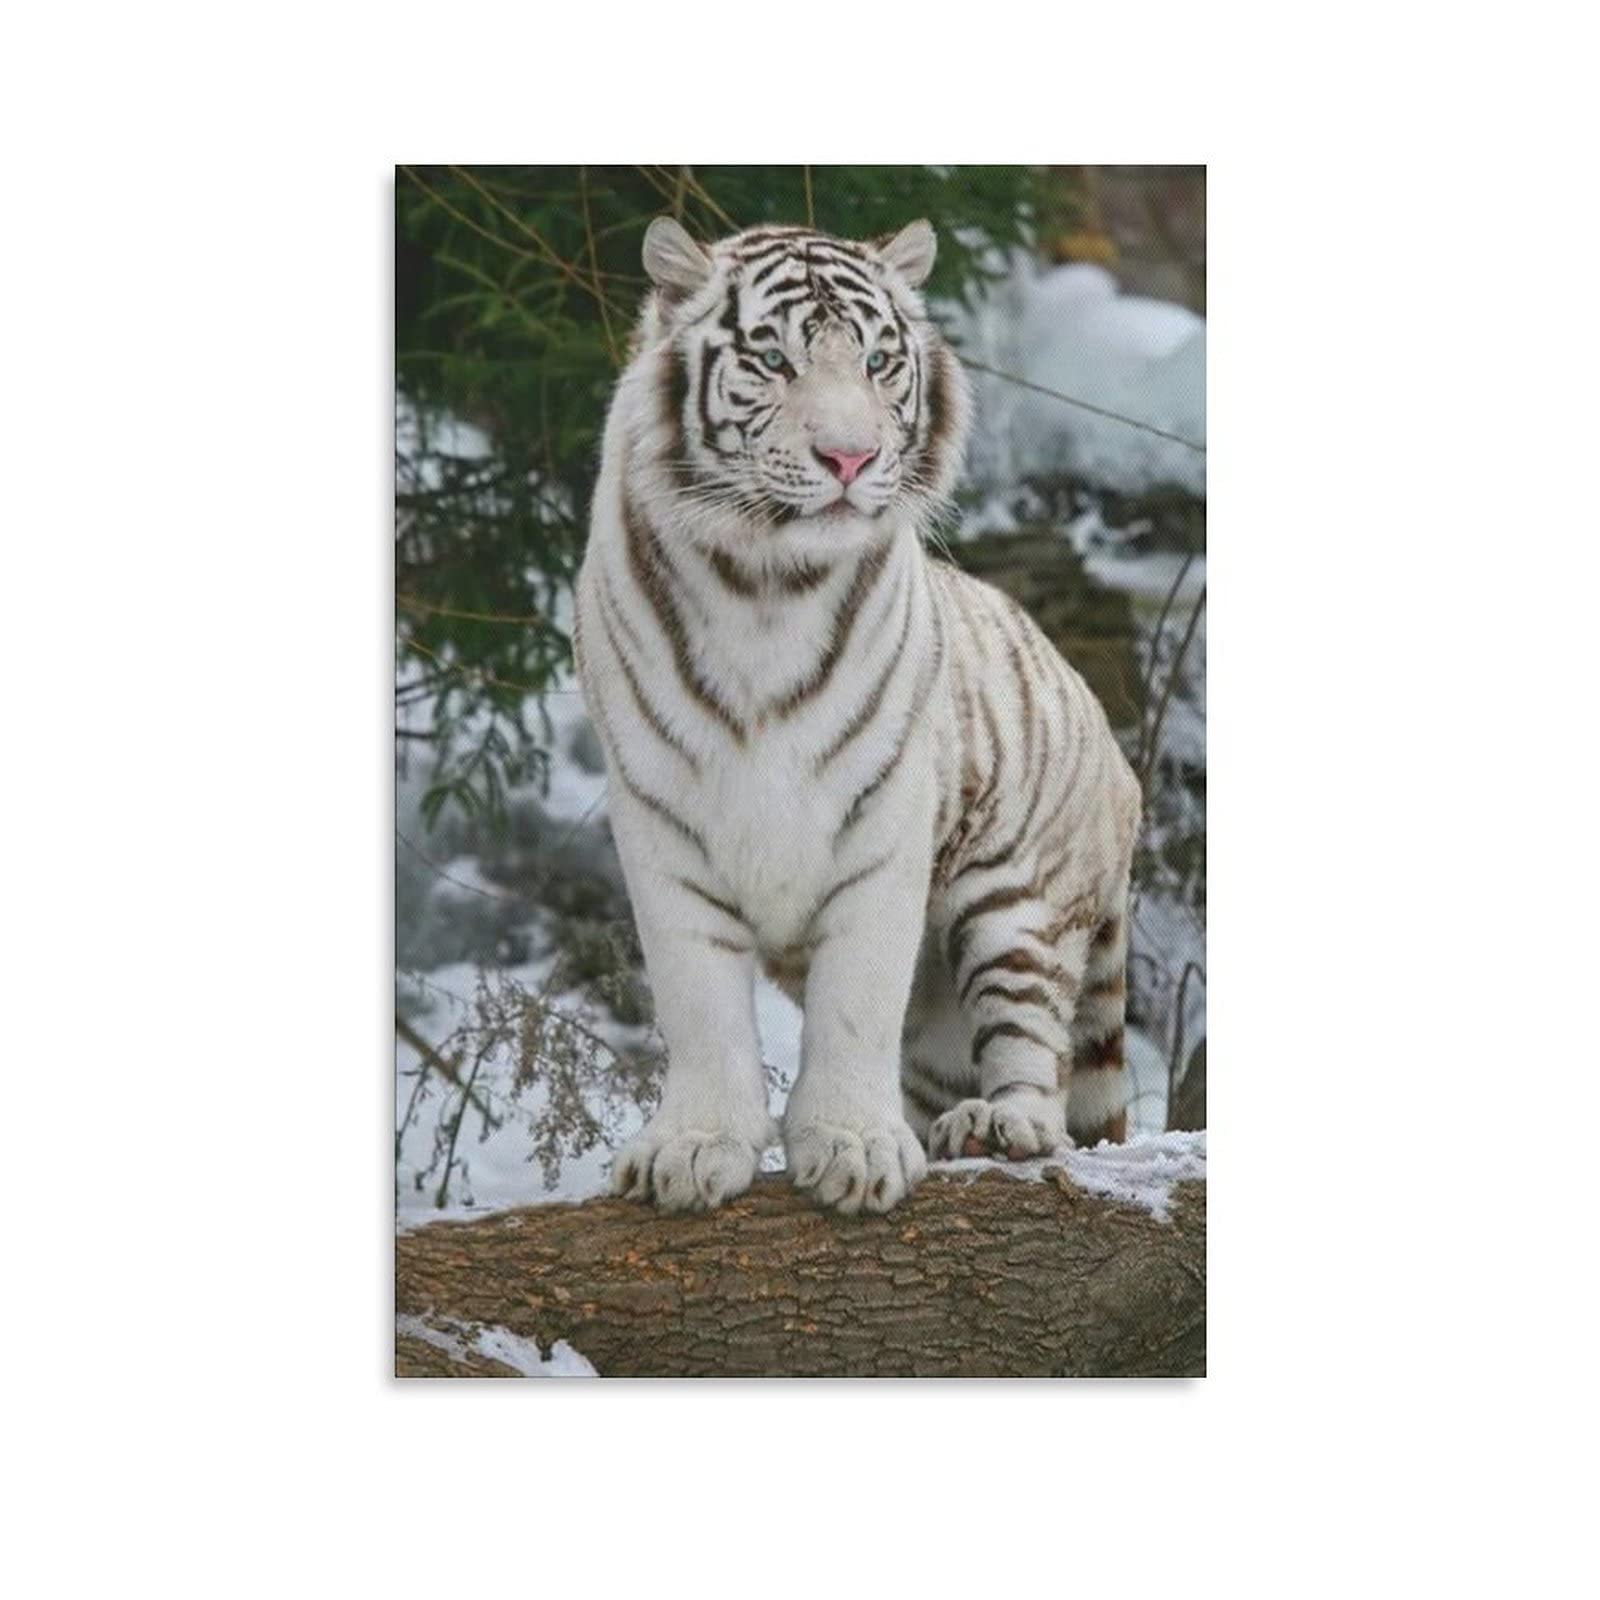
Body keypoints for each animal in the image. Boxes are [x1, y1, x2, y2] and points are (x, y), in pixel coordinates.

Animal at [572, 214, 1141, 1216]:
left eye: (878, 361)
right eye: (772, 358)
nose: (851, 459)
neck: (762, 586)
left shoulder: (885, 814)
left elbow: (857, 999)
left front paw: (853, 1149)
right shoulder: (660, 817)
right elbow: (698, 1001)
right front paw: (694, 1149)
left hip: (1017, 900)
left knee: (1038, 1051)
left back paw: (1002, 1127)